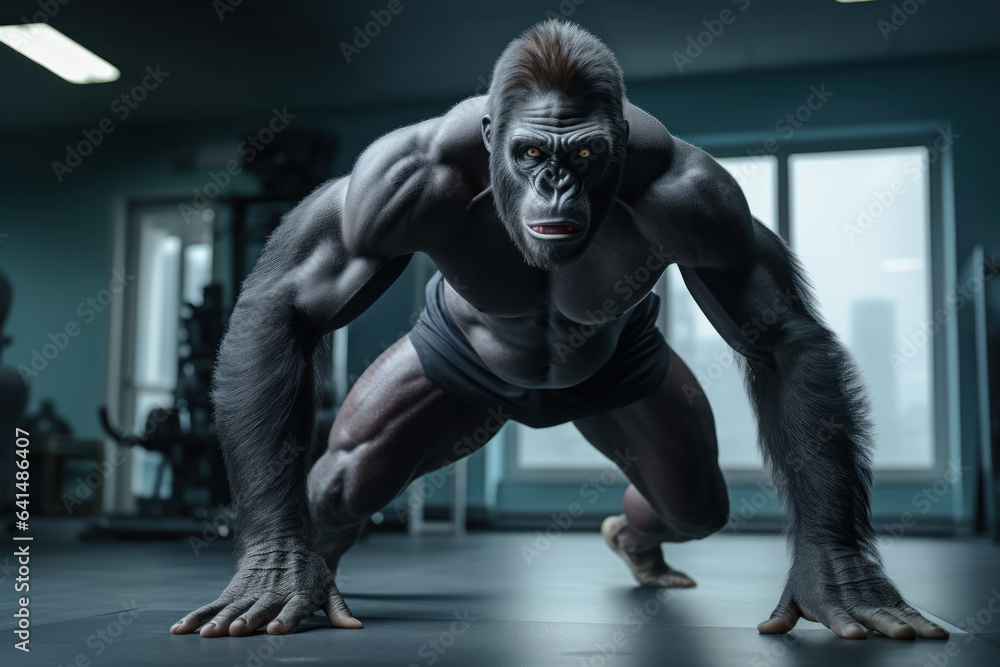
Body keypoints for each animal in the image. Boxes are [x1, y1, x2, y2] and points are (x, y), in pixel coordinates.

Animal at [171, 20, 949, 641]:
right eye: (529, 154)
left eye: (581, 156)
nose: (556, 188)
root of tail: (537, 409)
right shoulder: (381, 189)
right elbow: (291, 306)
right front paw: (277, 571)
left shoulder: (708, 206)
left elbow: (779, 339)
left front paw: (835, 574)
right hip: (442, 387)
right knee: (345, 480)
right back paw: (311, 568)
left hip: (634, 394)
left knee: (691, 497)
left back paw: (635, 545)